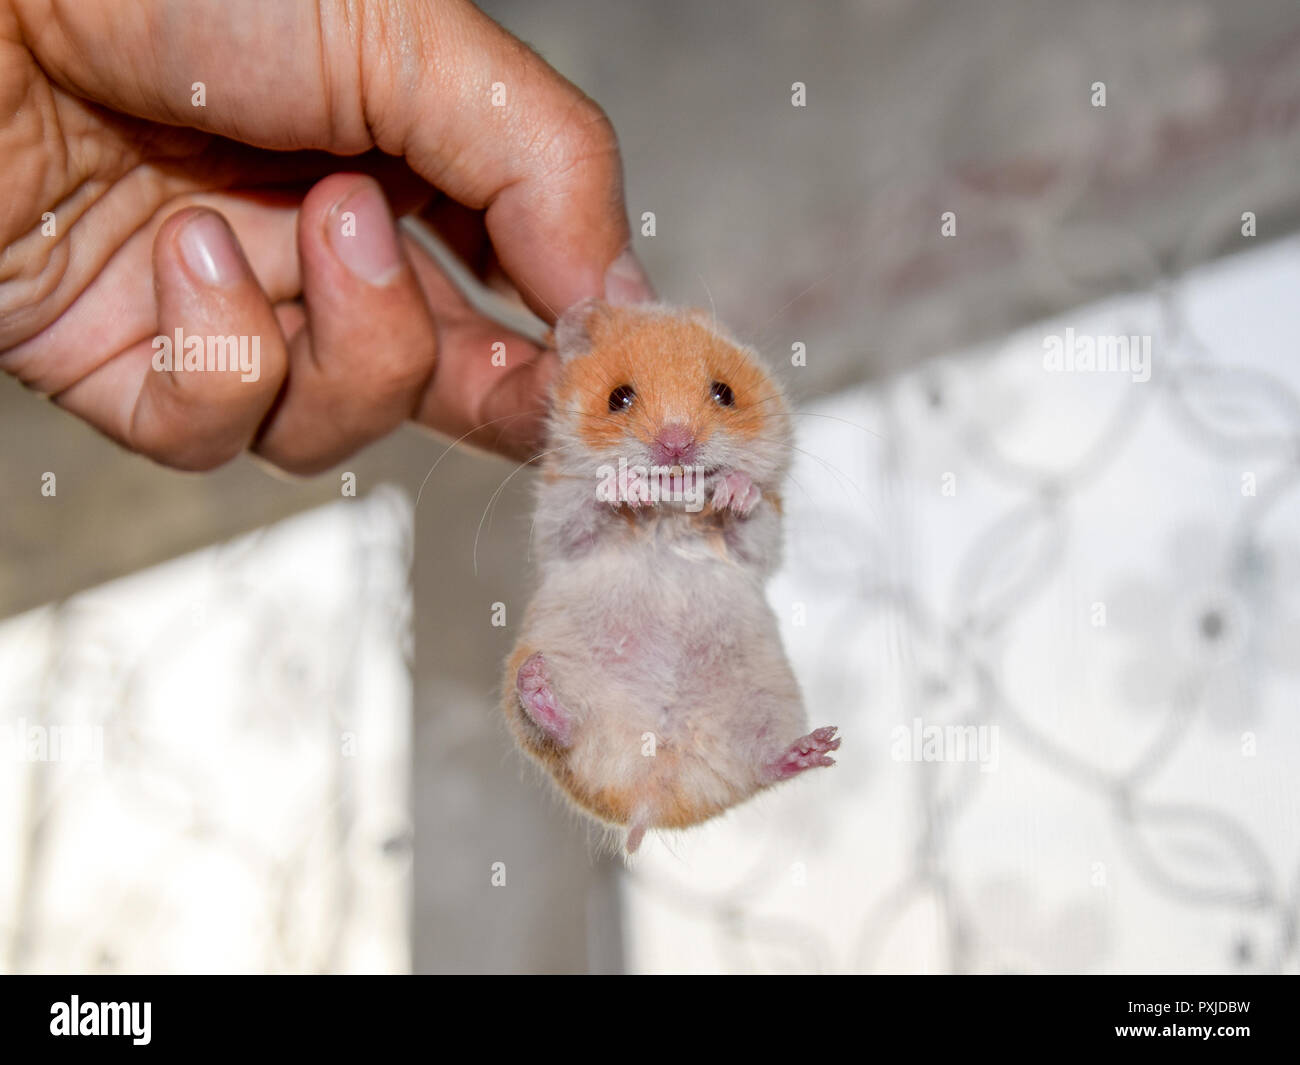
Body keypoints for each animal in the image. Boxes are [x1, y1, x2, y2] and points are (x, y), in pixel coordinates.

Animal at [502, 299, 840, 854]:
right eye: (618, 398)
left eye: (725, 393)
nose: (676, 445)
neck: (669, 515)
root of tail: (652, 789)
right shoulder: (560, 521)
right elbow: (583, 506)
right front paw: (624, 486)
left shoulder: (759, 545)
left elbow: (754, 522)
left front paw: (733, 490)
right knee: (561, 736)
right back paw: (537, 689)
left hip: (767, 703)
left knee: (759, 769)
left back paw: (817, 748)